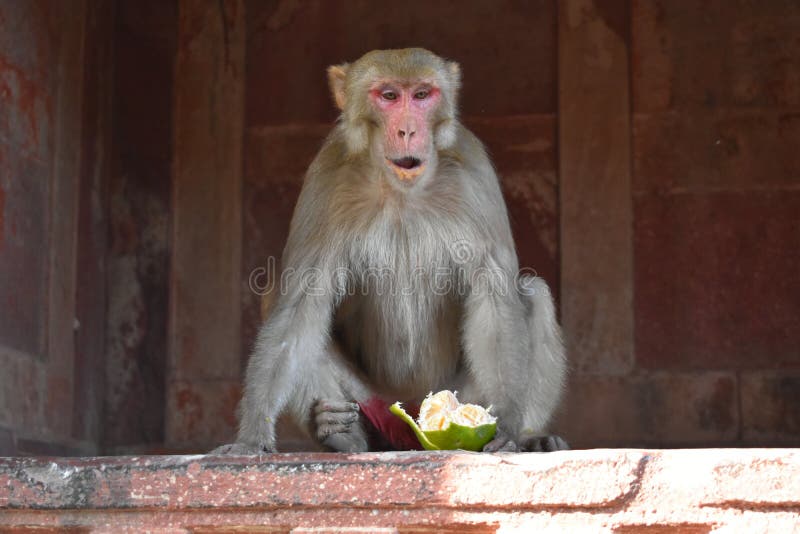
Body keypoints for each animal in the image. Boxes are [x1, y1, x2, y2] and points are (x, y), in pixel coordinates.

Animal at [214, 48, 567, 454]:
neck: (401, 190)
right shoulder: (326, 176)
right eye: (388, 96)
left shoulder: (475, 175)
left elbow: (493, 296)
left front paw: (508, 425)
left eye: (422, 95)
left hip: (461, 391)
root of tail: (407, 422)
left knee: (534, 294)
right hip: (372, 401)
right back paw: (337, 433)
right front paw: (251, 437)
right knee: (280, 300)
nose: (408, 130)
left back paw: (531, 436)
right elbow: (301, 304)